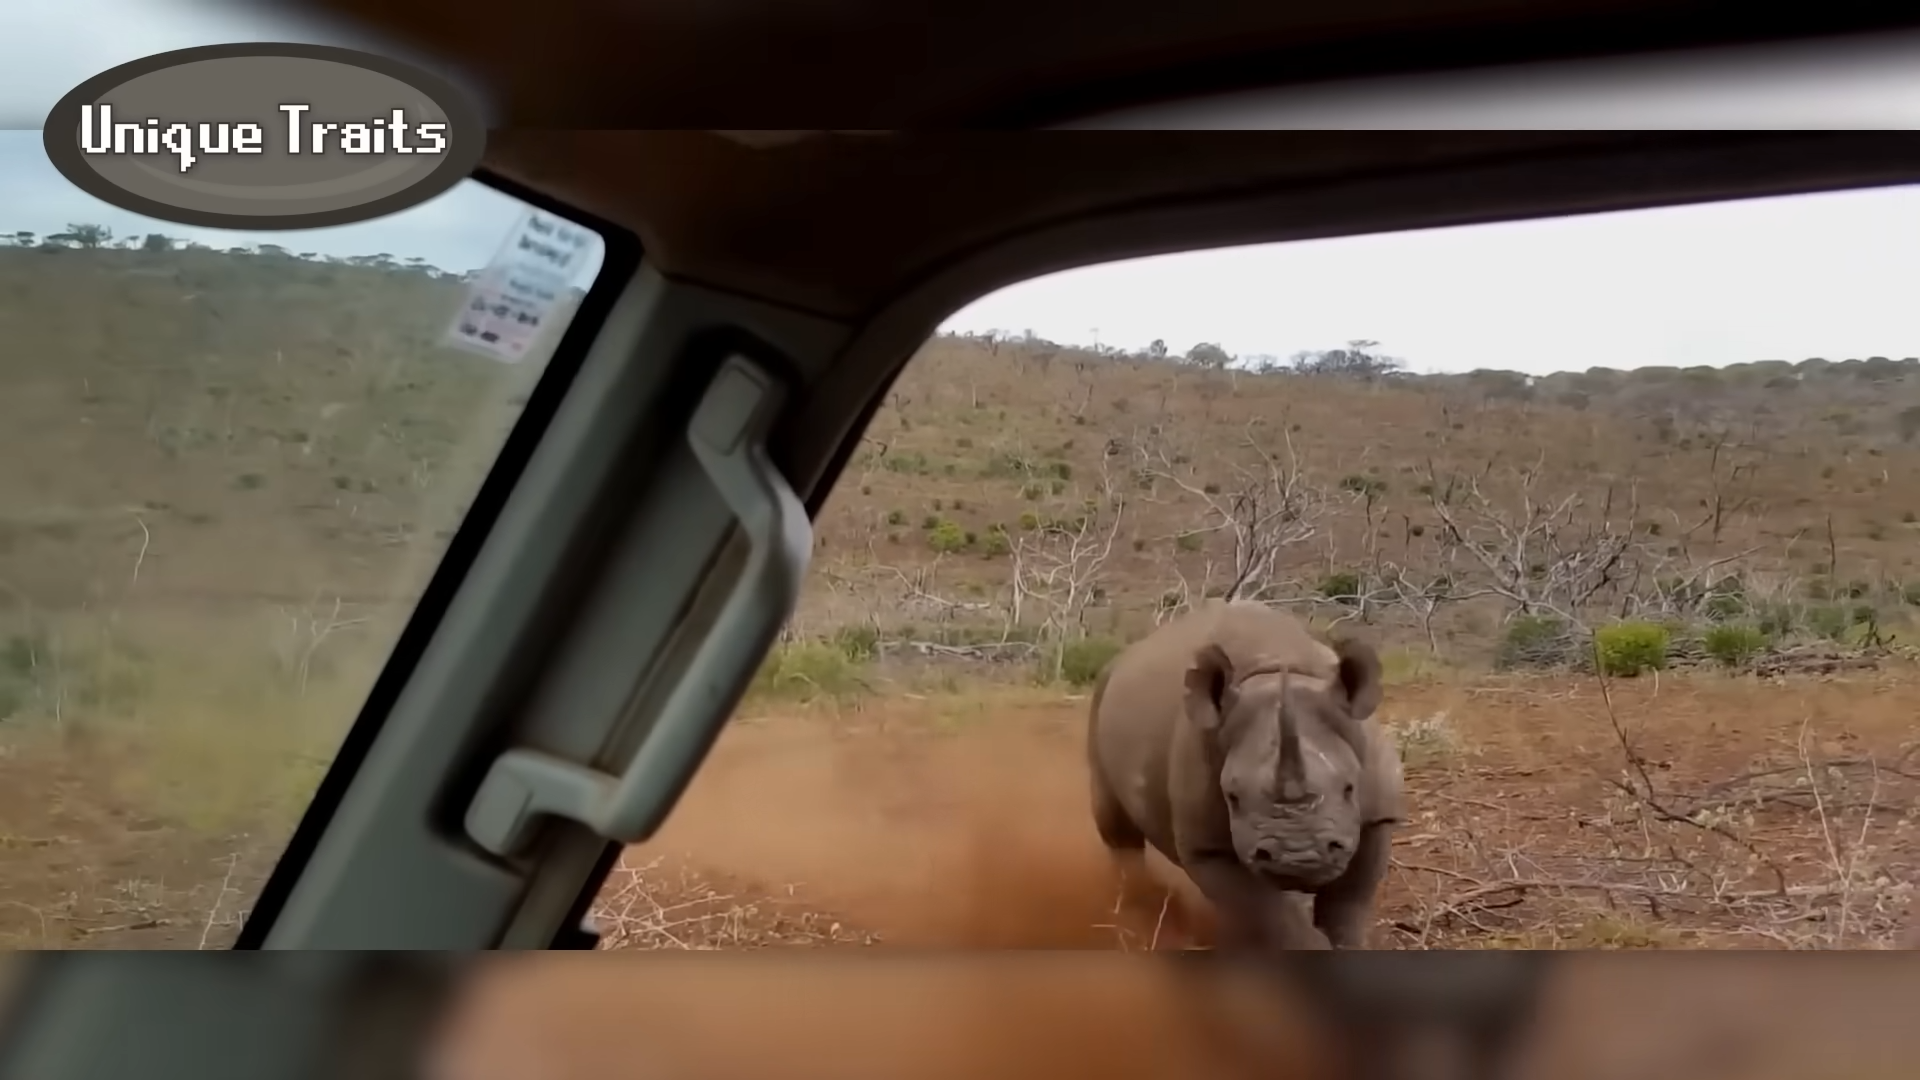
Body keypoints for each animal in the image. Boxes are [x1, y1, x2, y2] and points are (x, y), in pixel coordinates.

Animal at [1086, 600, 1405, 951]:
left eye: (1350, 788)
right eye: (1233, 798)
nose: (1299, 856)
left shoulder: (1378, 816)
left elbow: (1347, 907)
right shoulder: (1207, 848)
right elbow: (1270, 914)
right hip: (1099, 697)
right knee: (1117, 826)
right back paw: (1136, 911)